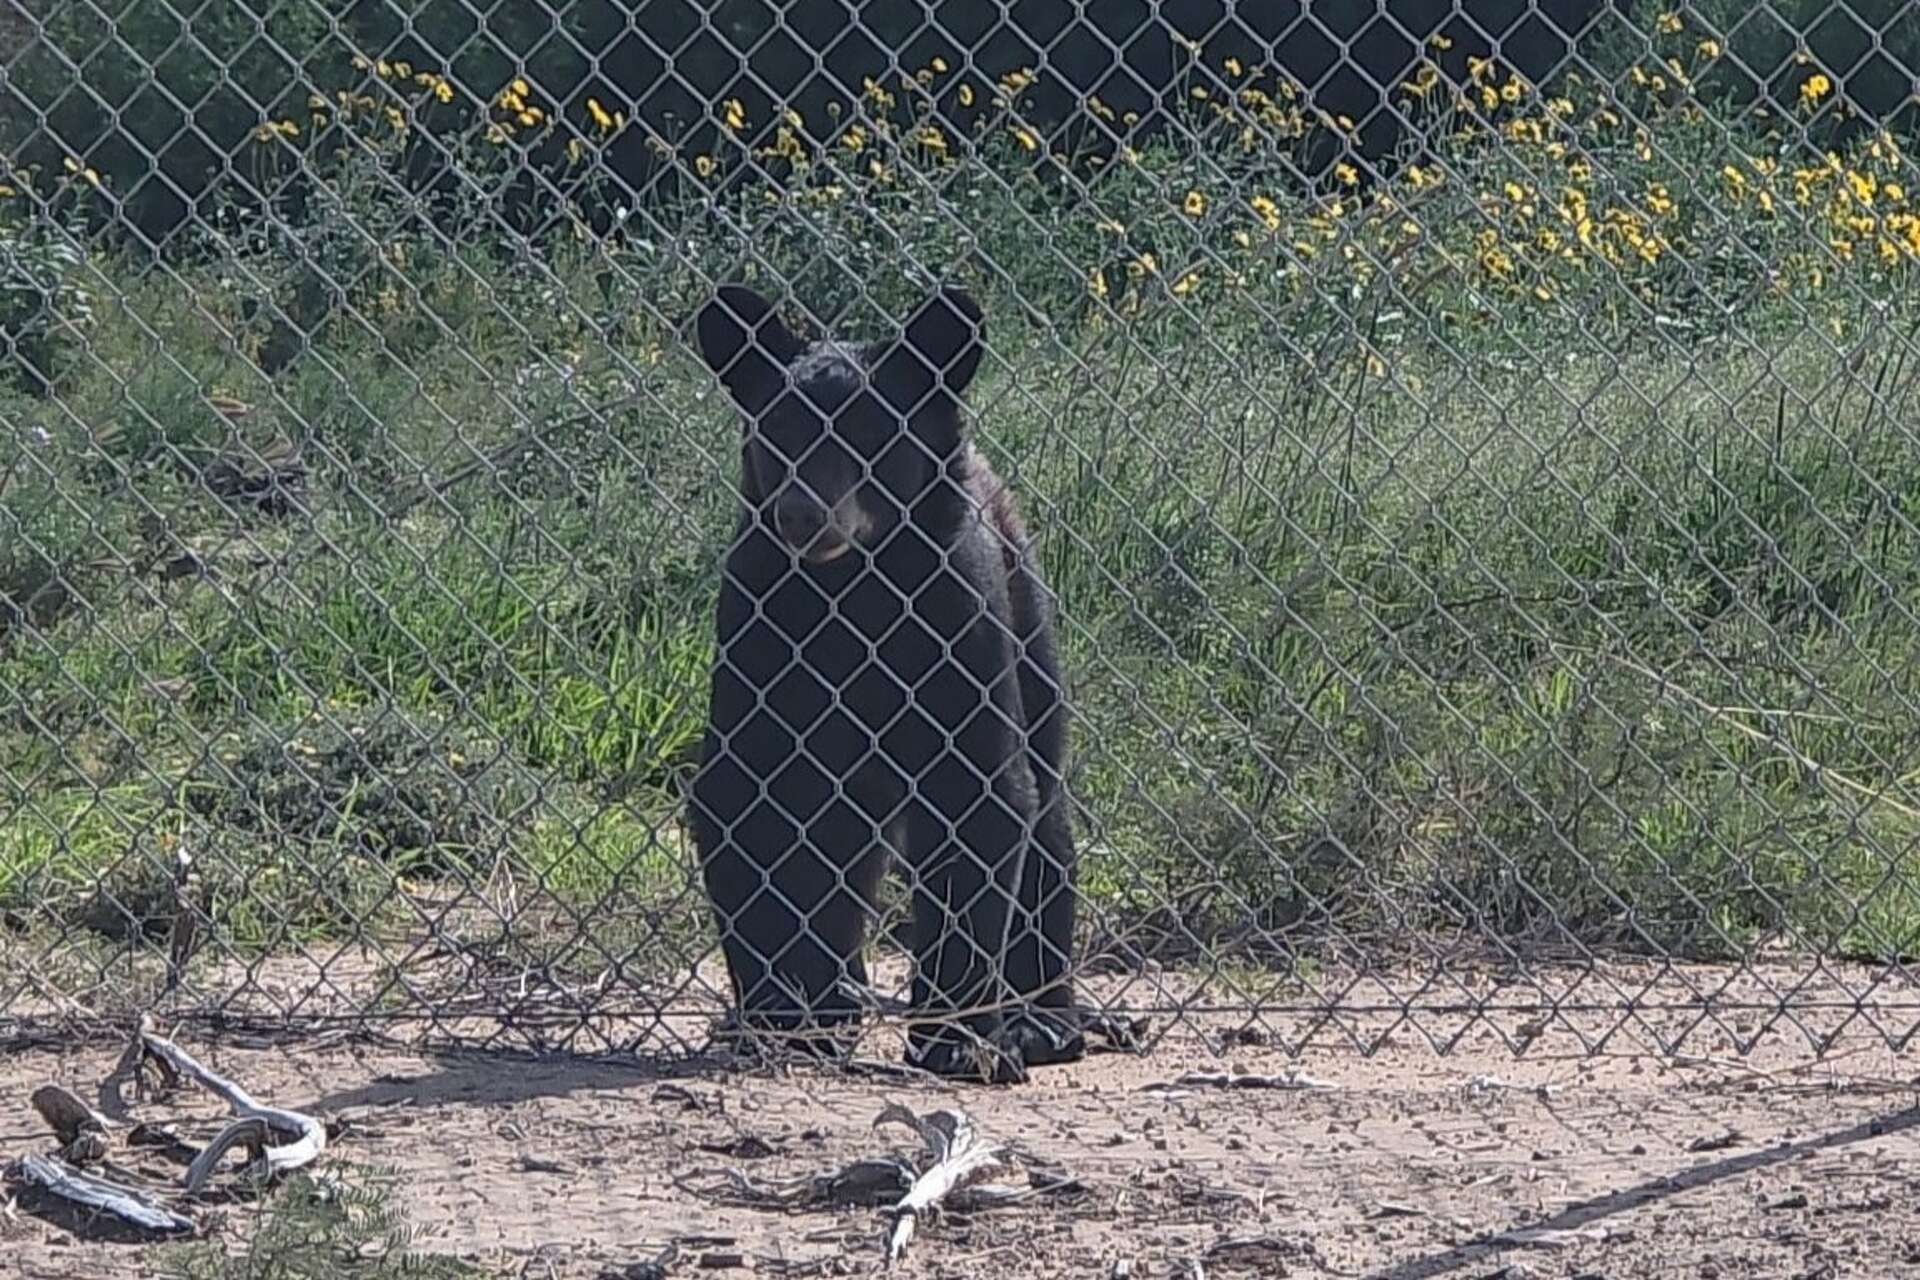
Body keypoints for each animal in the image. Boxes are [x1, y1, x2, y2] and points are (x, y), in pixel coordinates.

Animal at [687, 282, 1088, 1082]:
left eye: (868, 433)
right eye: (777, 430)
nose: (802, 511)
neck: (856, 590)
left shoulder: (959, 616)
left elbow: (979, 797)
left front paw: (958, 1039)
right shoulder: (756, 623)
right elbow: (748, 800)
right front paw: (785, 1016)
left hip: (1029, 627)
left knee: (1048, 815)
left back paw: (1044, 1021)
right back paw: (840, 991)